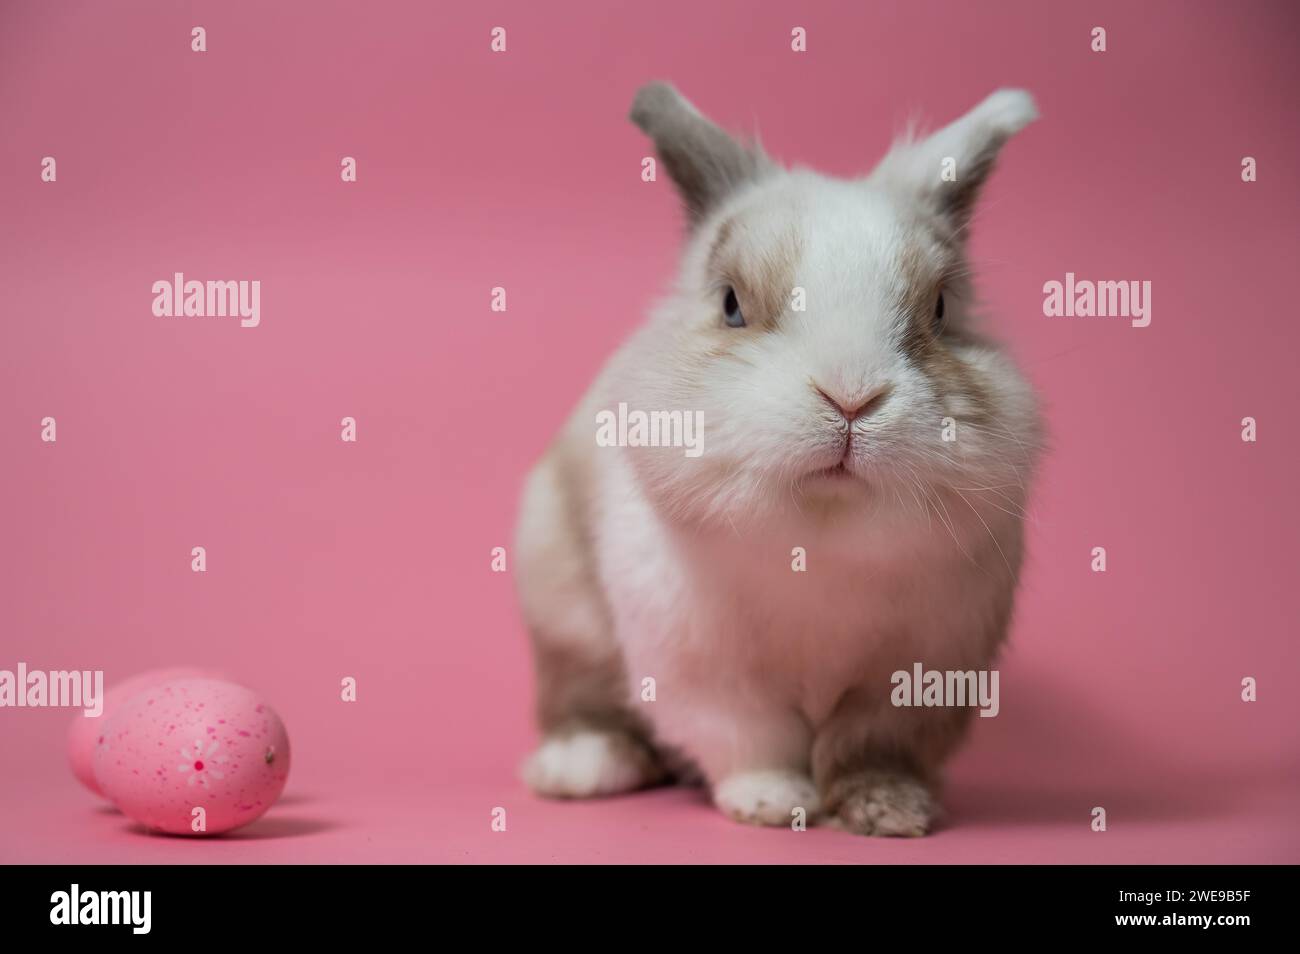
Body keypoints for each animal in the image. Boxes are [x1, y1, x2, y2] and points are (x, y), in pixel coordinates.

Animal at [515, 82, 1042, 836]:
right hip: (562, 606)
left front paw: (890, 811)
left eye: (942, 309)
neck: (820, 542)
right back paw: (583, 766)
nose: (851, 396)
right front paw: (772, 803)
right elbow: (750, 736)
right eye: (732, 304)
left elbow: (870, 746)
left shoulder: (920, 676)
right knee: (579, 696)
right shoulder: (706, 673)